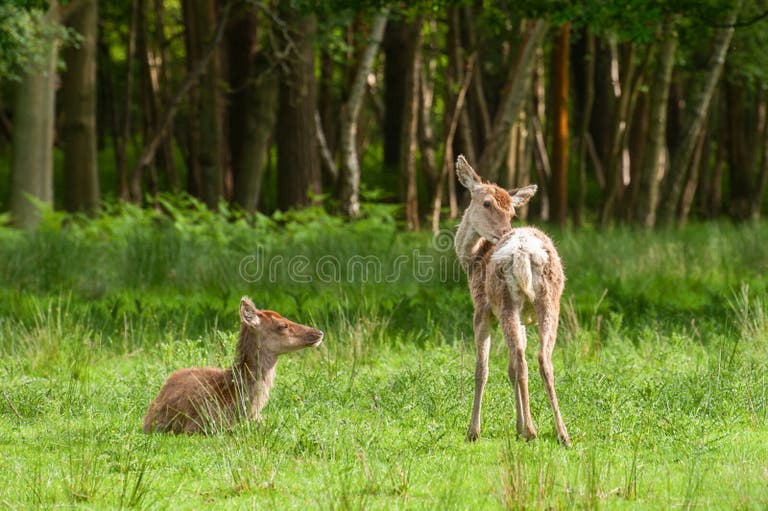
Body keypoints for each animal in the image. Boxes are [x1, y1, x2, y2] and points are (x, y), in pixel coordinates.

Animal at [454, 155, 570, 447]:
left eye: (512, 212)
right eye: (487, 203)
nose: (506, 229)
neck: (472, 261)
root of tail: (523, 253)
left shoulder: (481, 310)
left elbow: (482, 370)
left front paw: (473, 431)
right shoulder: (524, 320)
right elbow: (509, 369)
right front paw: (517, 425)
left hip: (504, 301)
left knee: (521, 359)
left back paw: (531, 431)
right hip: (548, 301)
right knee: (541, 358)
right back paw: (561, 433)